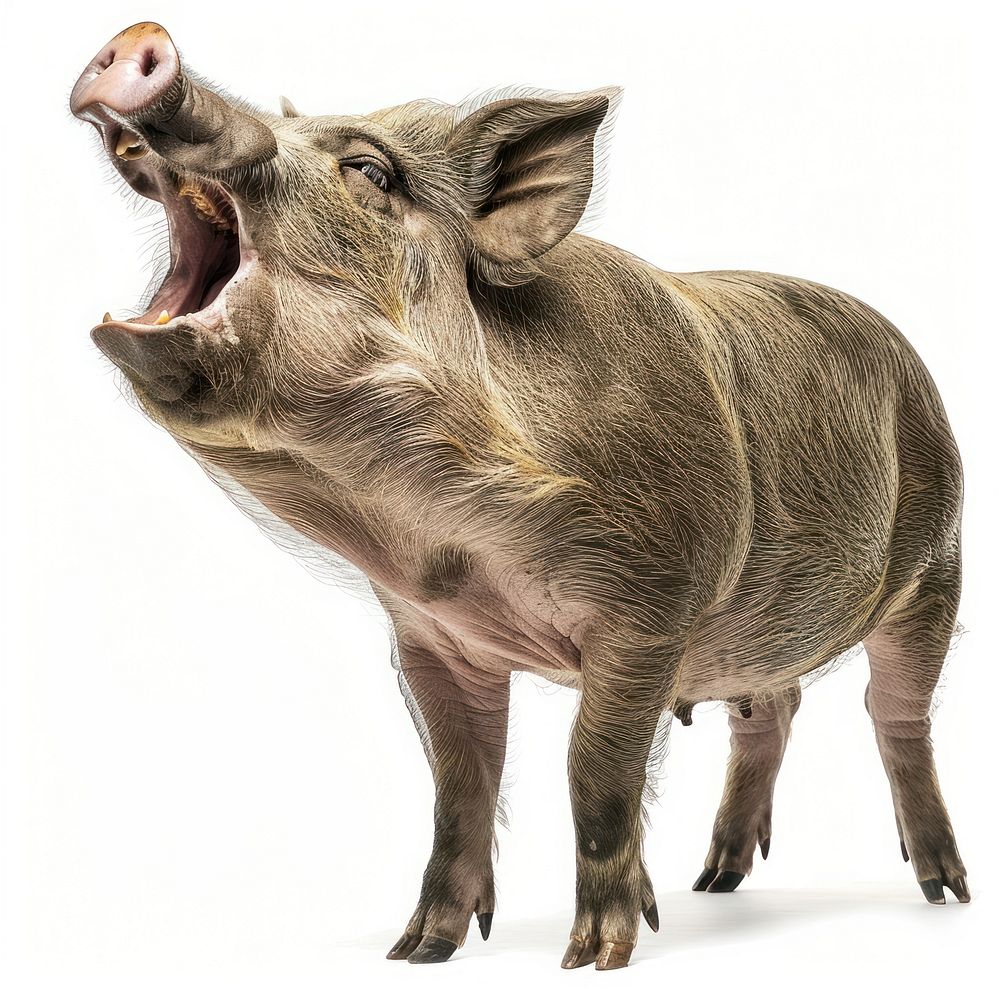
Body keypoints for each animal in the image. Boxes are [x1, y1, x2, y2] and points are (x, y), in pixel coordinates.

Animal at [71, 21, 969, 971]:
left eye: (370, 172)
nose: (139, 38)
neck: (443, 542)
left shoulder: (651, 608)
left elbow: (595, 775)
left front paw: (595, 959)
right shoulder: (428, 634)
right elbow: (460, 784)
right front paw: (417, 952)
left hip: (941, 560)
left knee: (897, 713)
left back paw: (944, 891)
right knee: (774, 706)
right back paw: (715, 882)